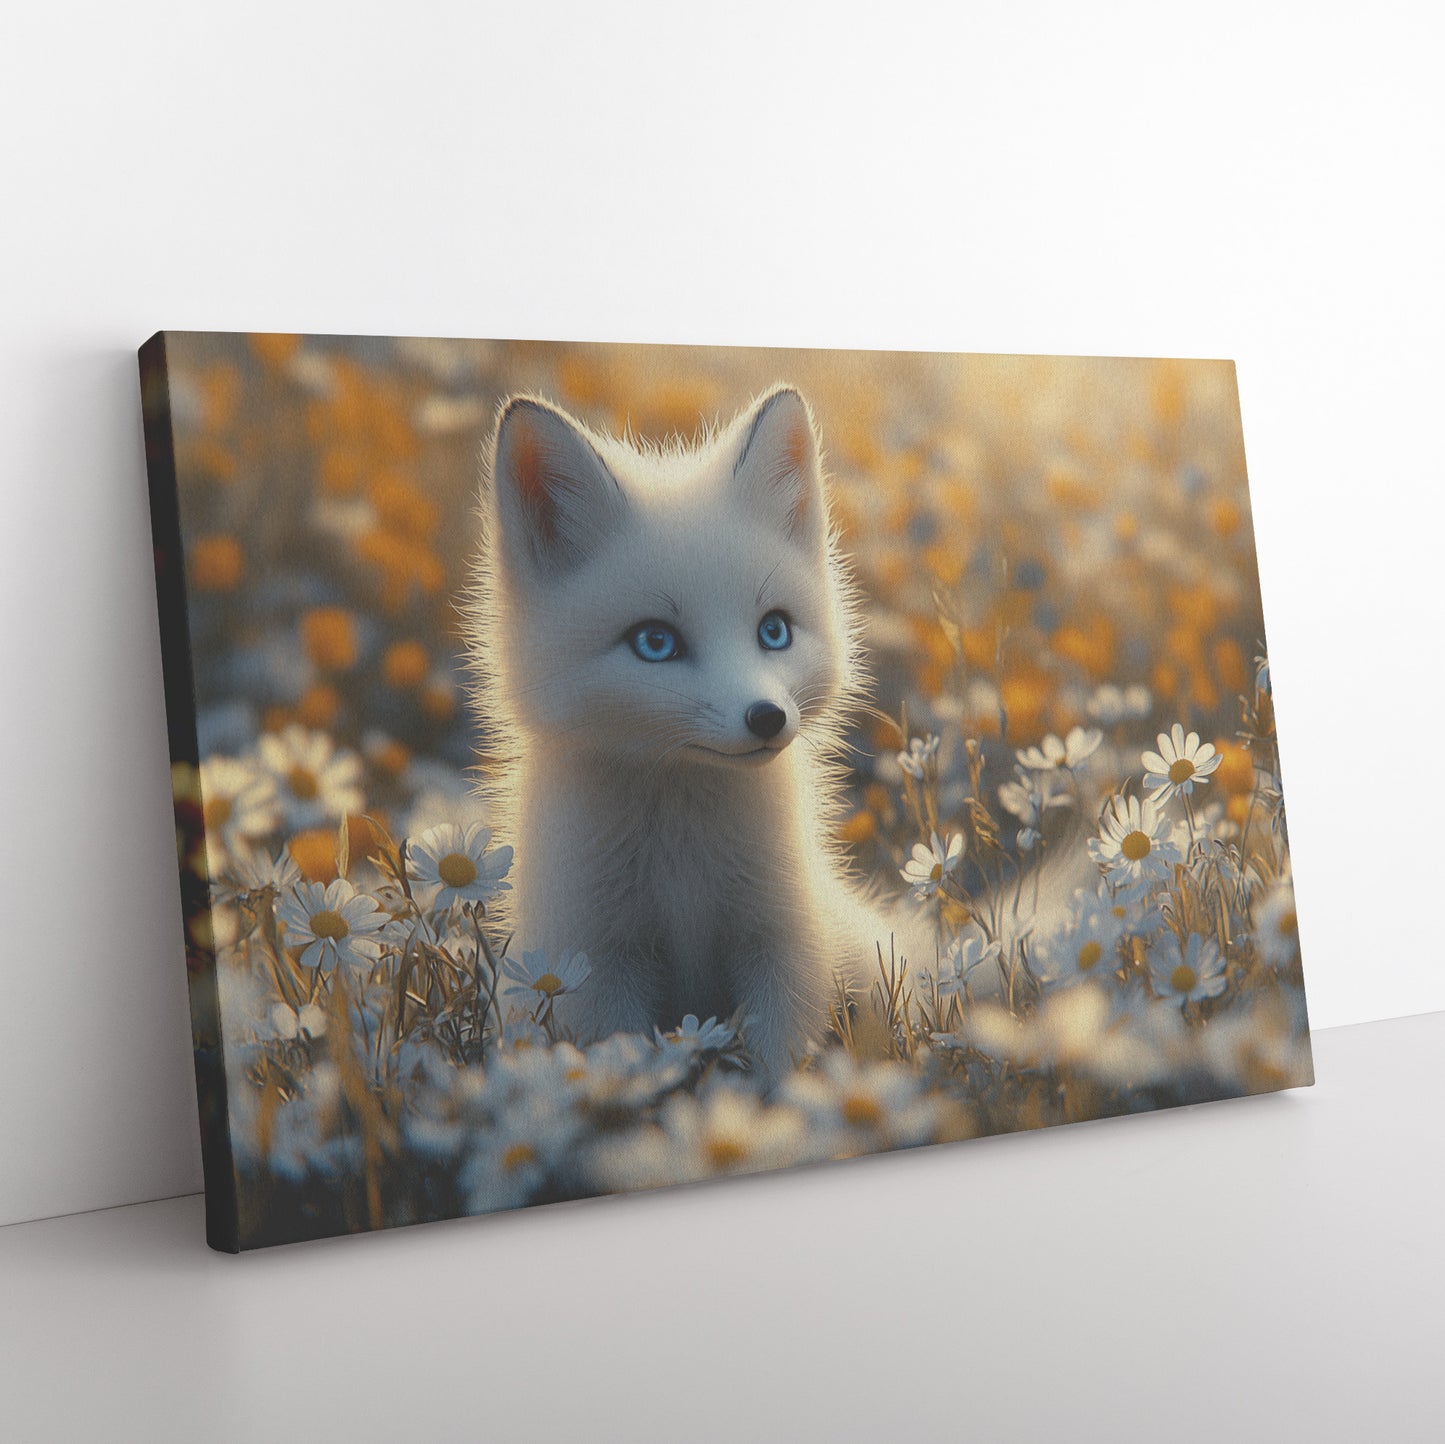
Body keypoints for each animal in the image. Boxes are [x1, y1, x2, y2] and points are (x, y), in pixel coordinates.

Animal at [466, 386, 934, 1075]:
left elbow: (779, 1067)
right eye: (655, 642)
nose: (767, 717)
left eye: (774, 630)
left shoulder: (782, 943)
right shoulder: (598, 967)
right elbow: (626, 1068)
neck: (683, 865)